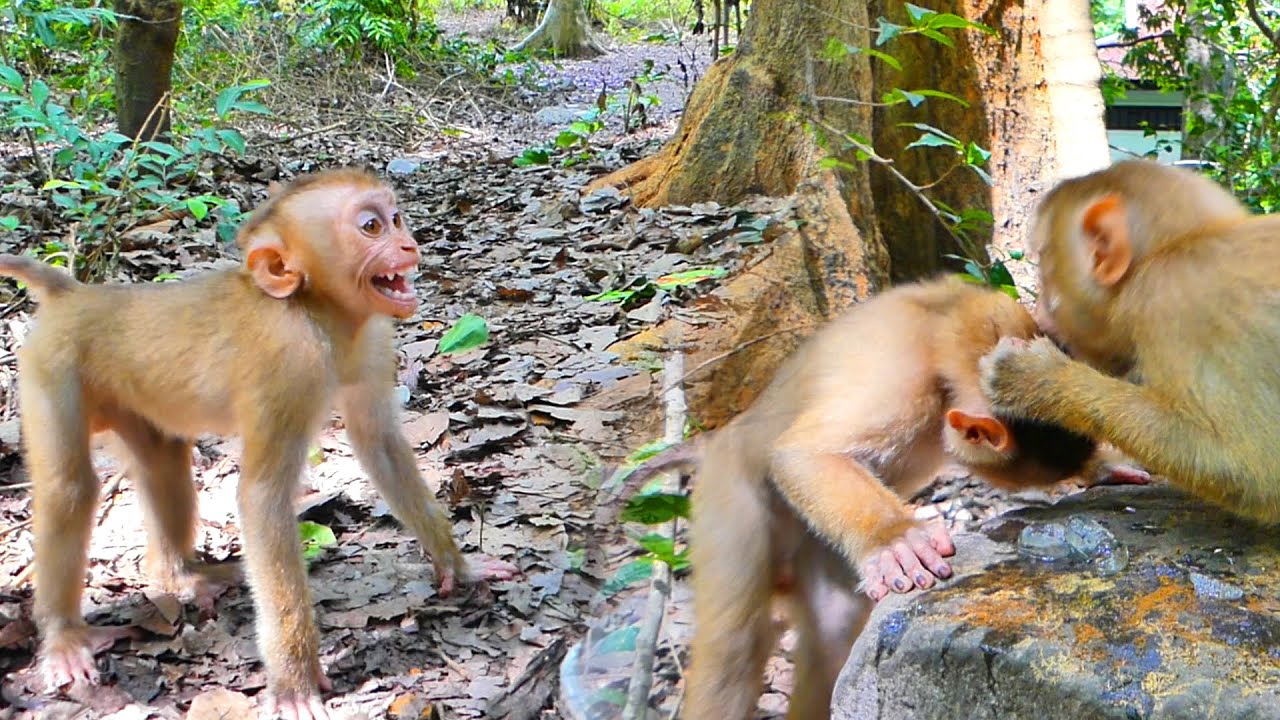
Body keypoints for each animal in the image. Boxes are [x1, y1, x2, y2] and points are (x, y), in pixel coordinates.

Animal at [0, 169, 517, 720]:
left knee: (163, 461)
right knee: (70, 487)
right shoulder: (289, 364)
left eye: (396, 219)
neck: (315, 310)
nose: (407, 244)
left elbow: (379, 445)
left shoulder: (373, 339)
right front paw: (294, 681)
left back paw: (178, 575)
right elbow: (262, 498)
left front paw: (460, 568)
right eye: (371, 226)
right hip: (52, 366)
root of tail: (74, 294)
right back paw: (63, 637)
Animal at [610, 277, 1126, 720]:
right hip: (733, 495)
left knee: (831, 635)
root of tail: (715, 439)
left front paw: (1099, 466)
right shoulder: (897, 378)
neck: (946, 340)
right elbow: (806, 455)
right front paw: (895, 538)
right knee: (732, 651)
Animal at [979, 158, 1280, 524]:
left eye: (1045, 267)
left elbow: (1254, 472)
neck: (1182, 244)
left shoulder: (1168, 301)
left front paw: (1038, 379)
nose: (1038, 309)